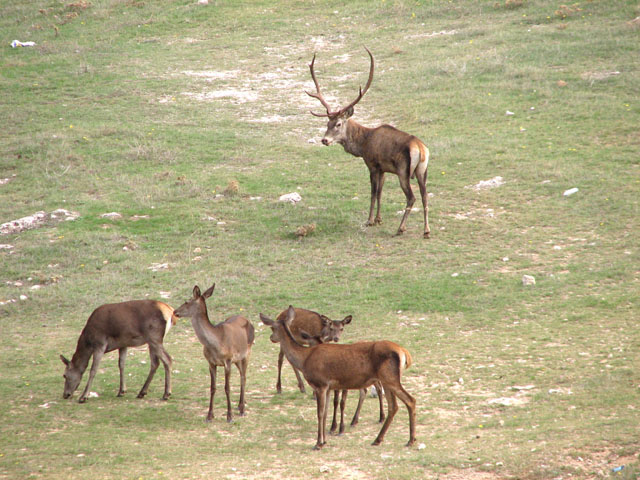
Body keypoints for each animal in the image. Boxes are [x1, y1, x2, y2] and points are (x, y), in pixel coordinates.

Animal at [174, 283, 254, 422]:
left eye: (187, 301)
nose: (175, 311)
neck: (216, 344)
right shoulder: (211, 363)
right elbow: (212, 388)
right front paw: (209, 416)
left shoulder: (228, 360)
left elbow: (227, 388)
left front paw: (229, 416)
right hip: (237, 359)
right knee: (241, 375)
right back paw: (239, 406)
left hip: (247, 352)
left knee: (243, 377)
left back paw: (242, 409)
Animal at [260, 306, 416, 450]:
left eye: (272, 328)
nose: (271, 338)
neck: (304, 359)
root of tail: (404, 352)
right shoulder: (329, 387)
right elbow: (326, 411)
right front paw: (325, 440)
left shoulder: (321, 384)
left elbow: (320, 413)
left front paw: (318, 443)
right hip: (386, 380)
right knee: (394, 406)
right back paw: (379, 439)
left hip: (390, 378)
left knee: (410, 400)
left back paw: (410, 440)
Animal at [306, 47, 431, 238]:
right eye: (327, 123)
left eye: (338, 124)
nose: (324, 140)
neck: (363, 143)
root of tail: (421, 149)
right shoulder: (384, 169)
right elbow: (380, 192)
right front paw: (379, 219)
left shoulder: (372, 164)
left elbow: (373, 192)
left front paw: (370, 220)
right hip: (422, 171)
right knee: (425, 195)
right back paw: (426, 230)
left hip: (403, 171)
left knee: (412, 197)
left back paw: (400, 228)